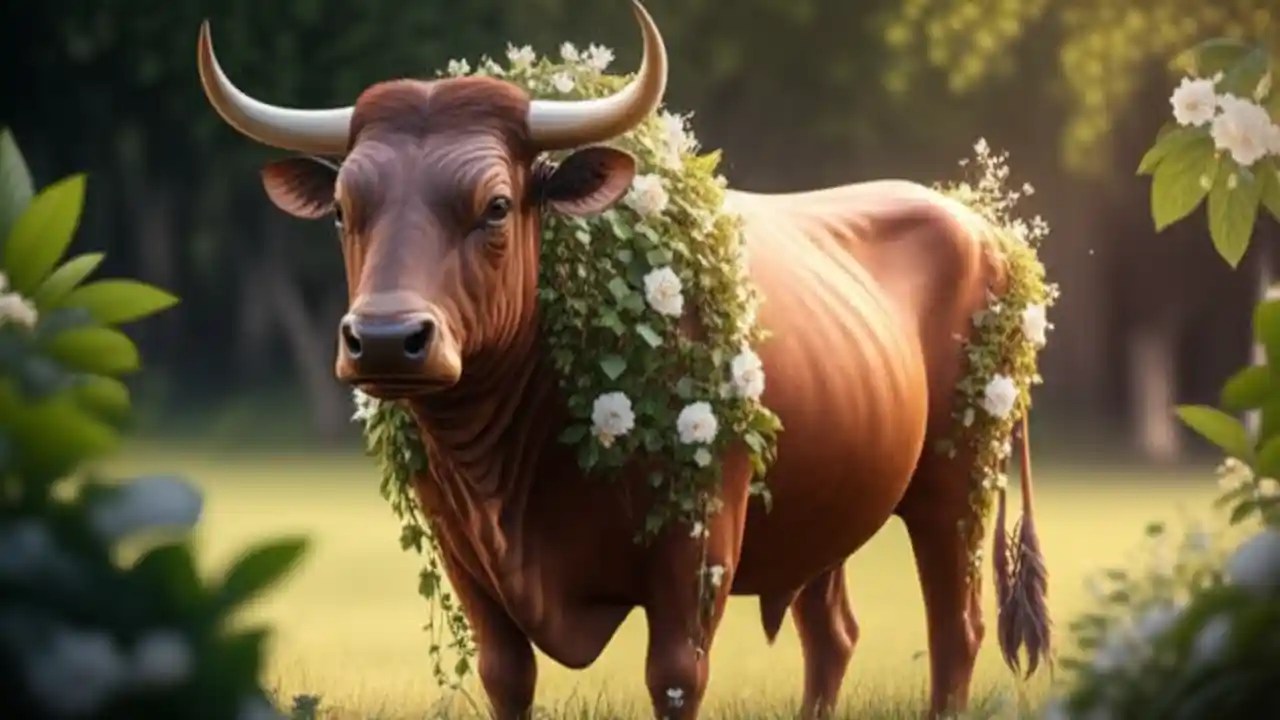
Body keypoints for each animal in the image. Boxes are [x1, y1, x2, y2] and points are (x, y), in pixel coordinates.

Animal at [195, 2, 1050, 718]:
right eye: (344, 209)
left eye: (496, 205)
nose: (383, 338)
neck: (508, 461)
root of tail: (984, 230)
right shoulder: (463, 553)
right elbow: (507, 677)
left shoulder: (697, 544)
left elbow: (674, 676)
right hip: (830, 505)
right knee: (830, 634)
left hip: (958, 486)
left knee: (956, 629)